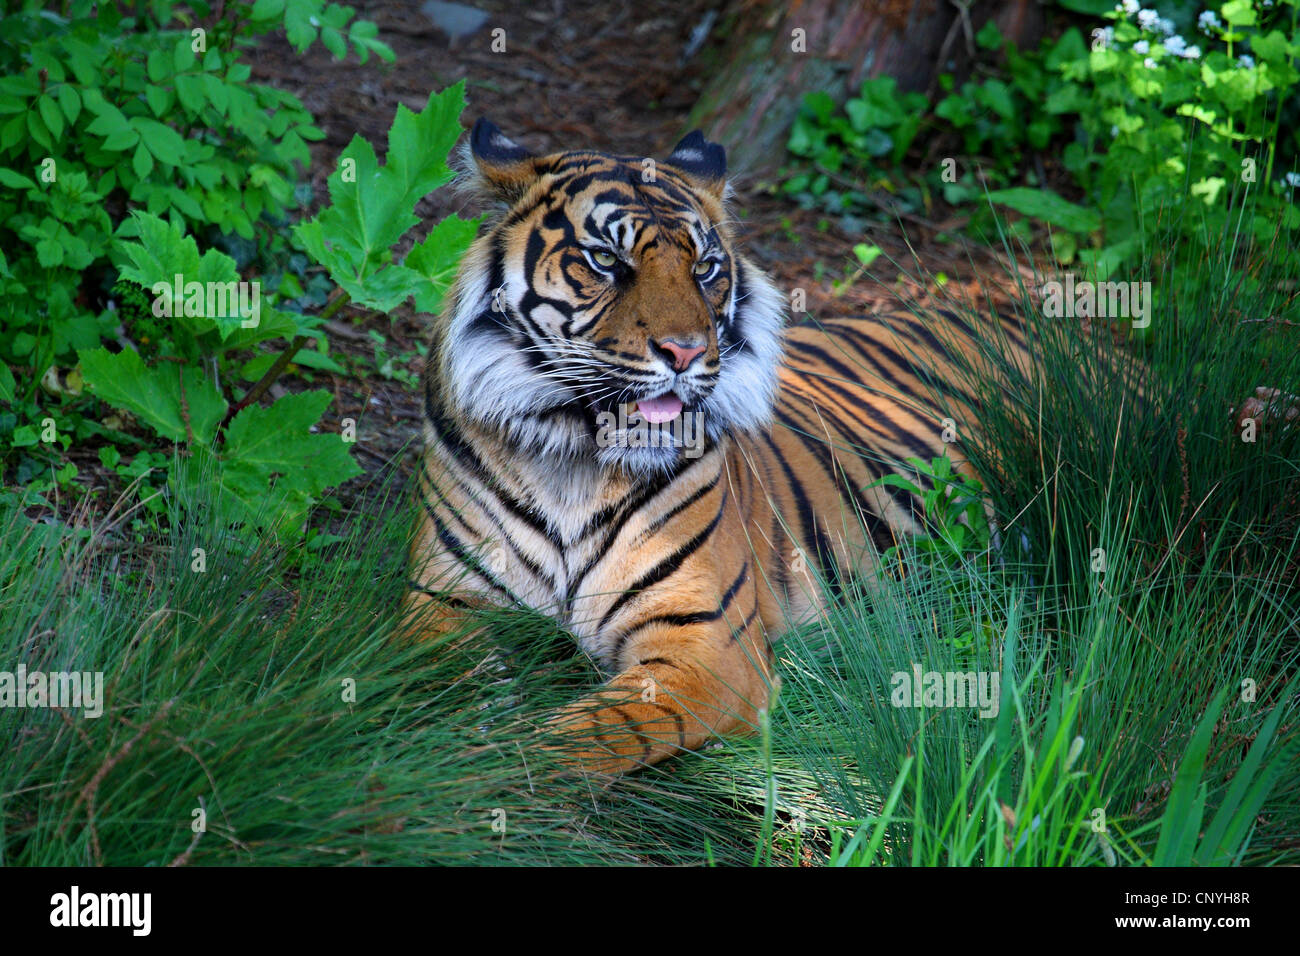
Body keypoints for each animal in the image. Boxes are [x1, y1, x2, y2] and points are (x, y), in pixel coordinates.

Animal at [403, 118, 1034, 775]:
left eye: (705, 267)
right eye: (605, 260)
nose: (684, 352)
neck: (574, 463)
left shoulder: (708, 644)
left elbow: (576, 737)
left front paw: (488, 775)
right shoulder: (439, 603)